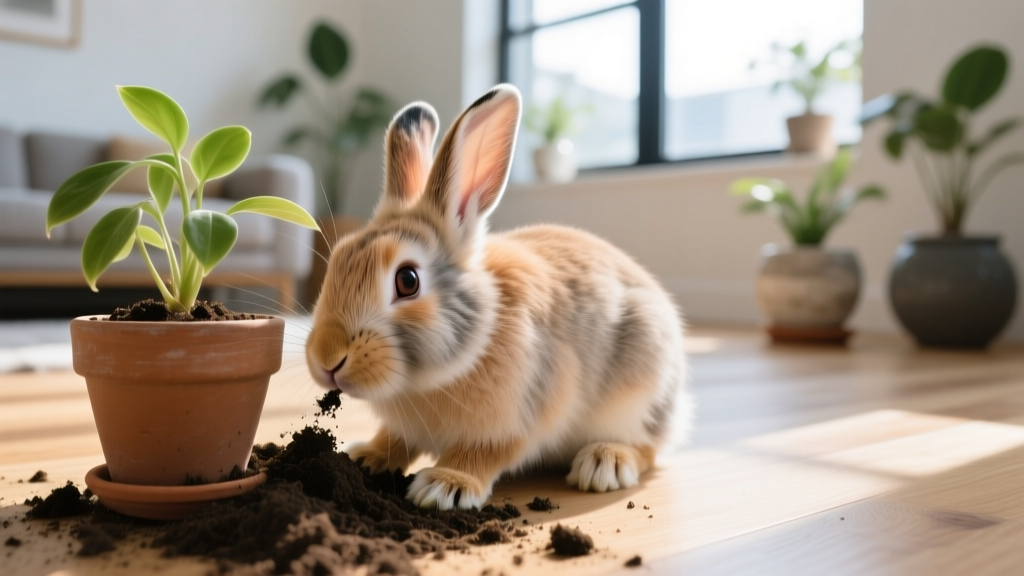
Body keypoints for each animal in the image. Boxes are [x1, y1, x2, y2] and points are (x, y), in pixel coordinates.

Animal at [305, 84, 691, 510]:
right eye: (338, 259)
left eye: (407, 280)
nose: (326, 360)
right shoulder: (405, 428)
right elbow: (396, 440)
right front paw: (366, 457)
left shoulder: (520, 416)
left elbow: (486, 452)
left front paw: (445, 486)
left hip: (641, 387)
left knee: (649, 446)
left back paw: (604, 462)